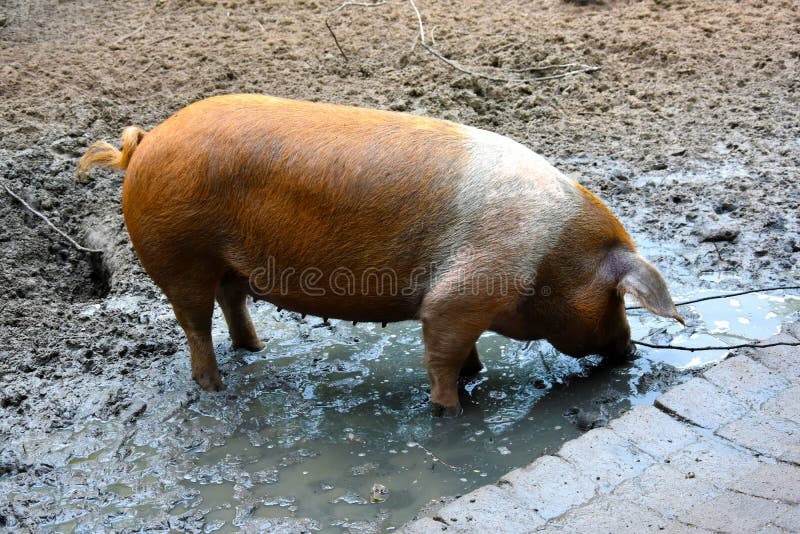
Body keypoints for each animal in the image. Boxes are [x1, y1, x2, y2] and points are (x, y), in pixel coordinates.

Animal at [77, 94, 683, 415]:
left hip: (223, 262)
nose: (629, 349)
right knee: (194, 324)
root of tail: (146, 142)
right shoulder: (464, 289)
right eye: (618, 300)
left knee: (232, 303)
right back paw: (217, 388)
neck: (551, 254)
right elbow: (442, 352)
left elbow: (462, 352)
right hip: (180, 258)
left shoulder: (465, 303)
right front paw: (450, 412)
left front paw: (476, 377)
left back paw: (257, 348)